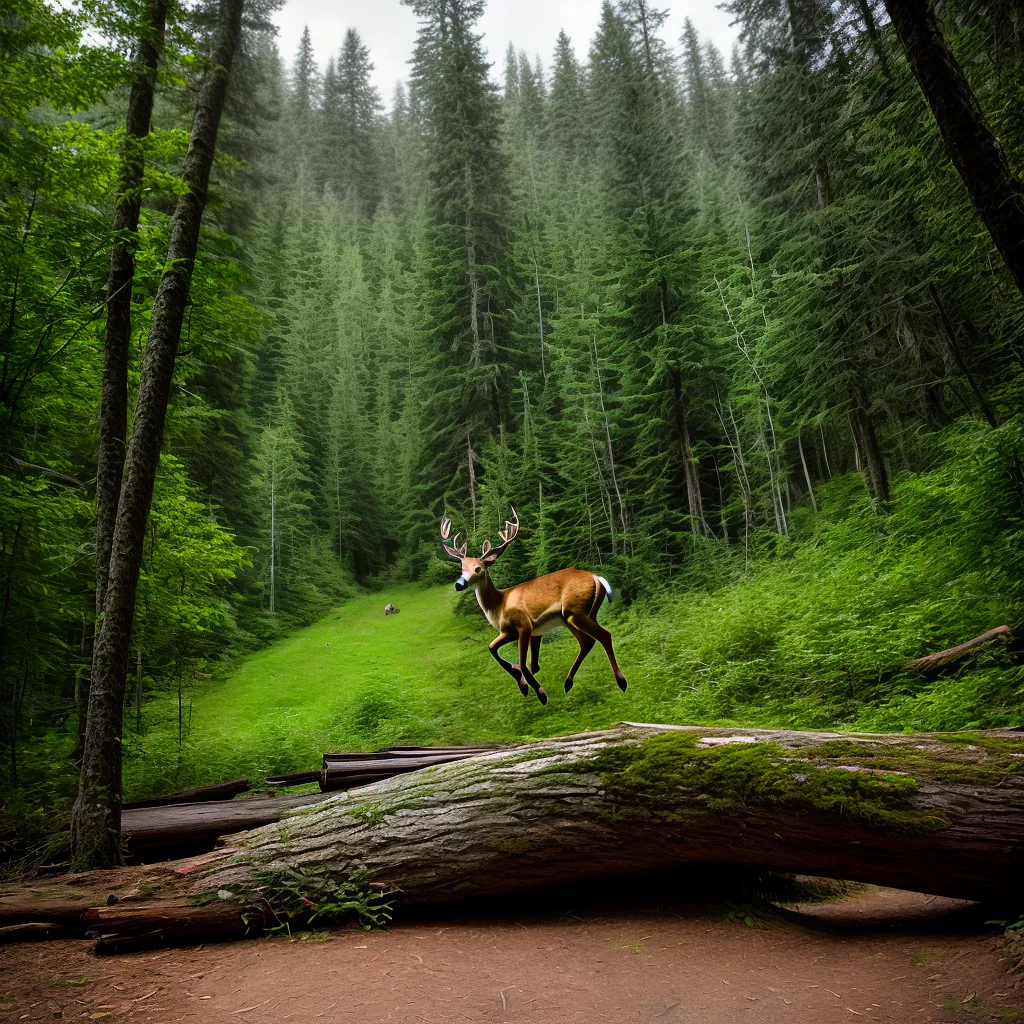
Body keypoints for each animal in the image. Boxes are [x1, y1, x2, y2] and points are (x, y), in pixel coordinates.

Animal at [440, 508, 627, 704]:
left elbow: (523, 663)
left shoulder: (524, 625)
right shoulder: (514, 632)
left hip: (575, 612)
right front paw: (523, 684)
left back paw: (621, 681)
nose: (459, 584)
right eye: (462, 568)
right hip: (574, 617)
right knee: (587, 642)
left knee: (604, 635)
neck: (499, 605)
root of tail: (596, 578)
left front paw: (539, 692)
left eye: (479, 568)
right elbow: (496, 649)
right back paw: (568, 683)